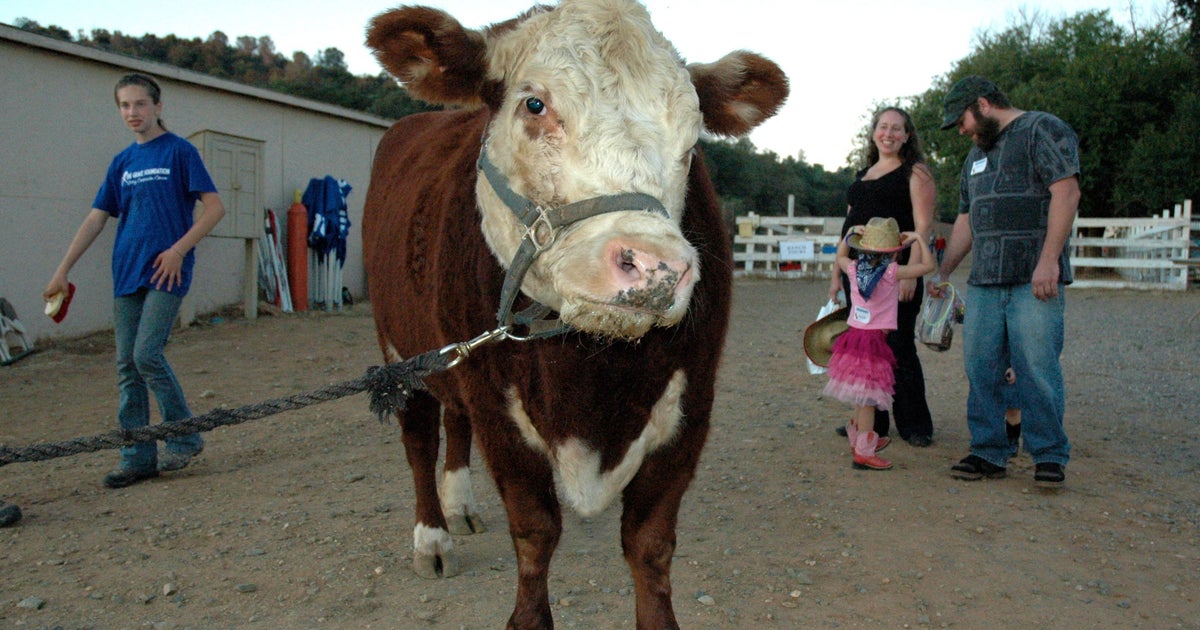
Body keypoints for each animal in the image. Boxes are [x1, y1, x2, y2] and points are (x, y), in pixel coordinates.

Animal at [362, 2, 787, 627]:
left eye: (693, 138)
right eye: (534, 104)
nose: (657, 267)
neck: (590, 371)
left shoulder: (691, 408)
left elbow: (649, 544)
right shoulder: (496, 407)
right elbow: (535, 533)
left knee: (453, 421)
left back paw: (459, 504)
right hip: (401, 351)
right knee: (420, 437)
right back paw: (433, 537)